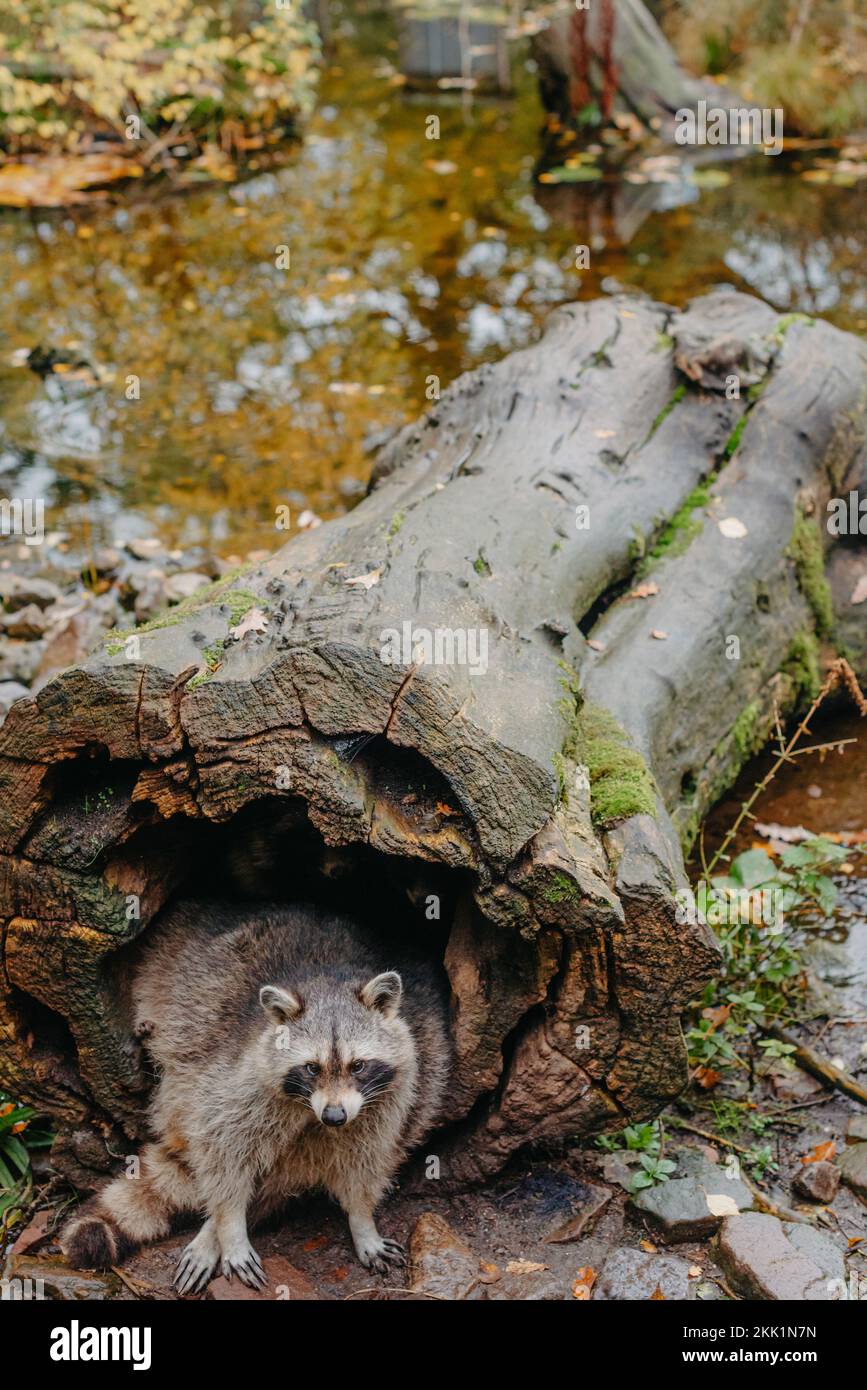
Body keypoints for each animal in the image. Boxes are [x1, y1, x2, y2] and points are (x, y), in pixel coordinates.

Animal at [61, 901, 451, 1294]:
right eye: (311, 1068)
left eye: (358, 1065)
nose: (334, 1117)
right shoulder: (238, 1079)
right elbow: (222, 1149)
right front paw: (228, 1227)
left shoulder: (390, 1098)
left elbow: (366, 1161)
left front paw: (361, 1220)